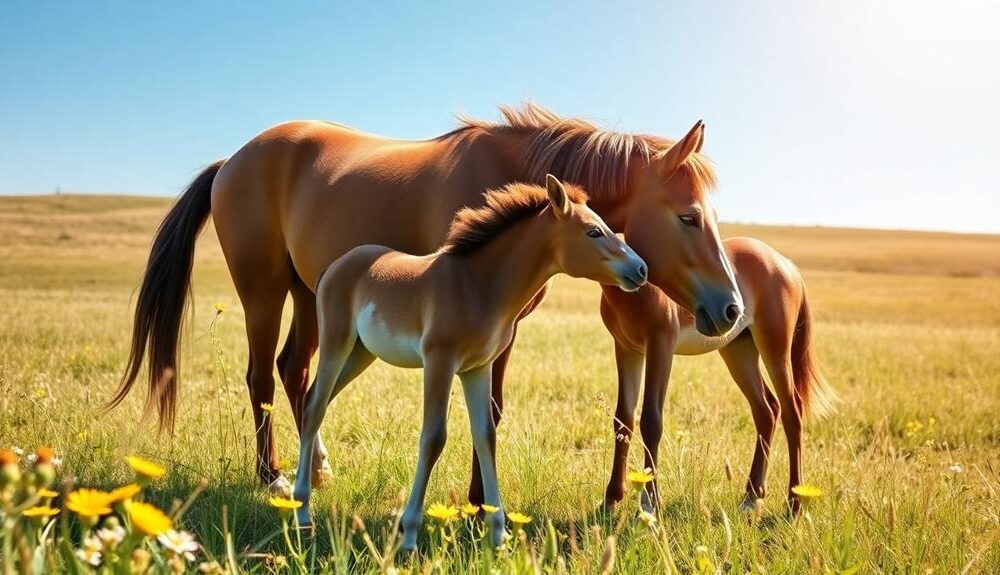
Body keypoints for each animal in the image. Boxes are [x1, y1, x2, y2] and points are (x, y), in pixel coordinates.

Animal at [110, 104, 743, 496]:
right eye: (688, 217)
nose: (732, 308)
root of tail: (232, 160)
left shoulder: (504, 323)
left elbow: (491, 411)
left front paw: (479, 501)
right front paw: (476, 503)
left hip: (309, 293)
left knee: (296, 370)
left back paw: (316, 468)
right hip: (262, 289)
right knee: (262, 375)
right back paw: (272, 478)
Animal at [292, 176, 647, 549]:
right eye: (593, 231)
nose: (640, 269)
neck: (477, 285)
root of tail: (335, 267)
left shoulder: (478, 368)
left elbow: (485, 435)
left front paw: (498, 533)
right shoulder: (440, 361)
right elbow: (433, 437)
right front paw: (409, 534)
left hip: (362, 353)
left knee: (314, 402)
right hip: (336, 343)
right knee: (315, 407)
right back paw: (302, 512)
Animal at [598, 237, 837, 514]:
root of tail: (785, 264)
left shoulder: (660, 348)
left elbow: (651, 421)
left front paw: (649, 505)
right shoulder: (627, 350)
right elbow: (623, 419)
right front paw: (611, 498)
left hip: (775, 349)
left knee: (792, 410)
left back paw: (794, 503)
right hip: (738, 351)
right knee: (767, 409)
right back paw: (751, 496)